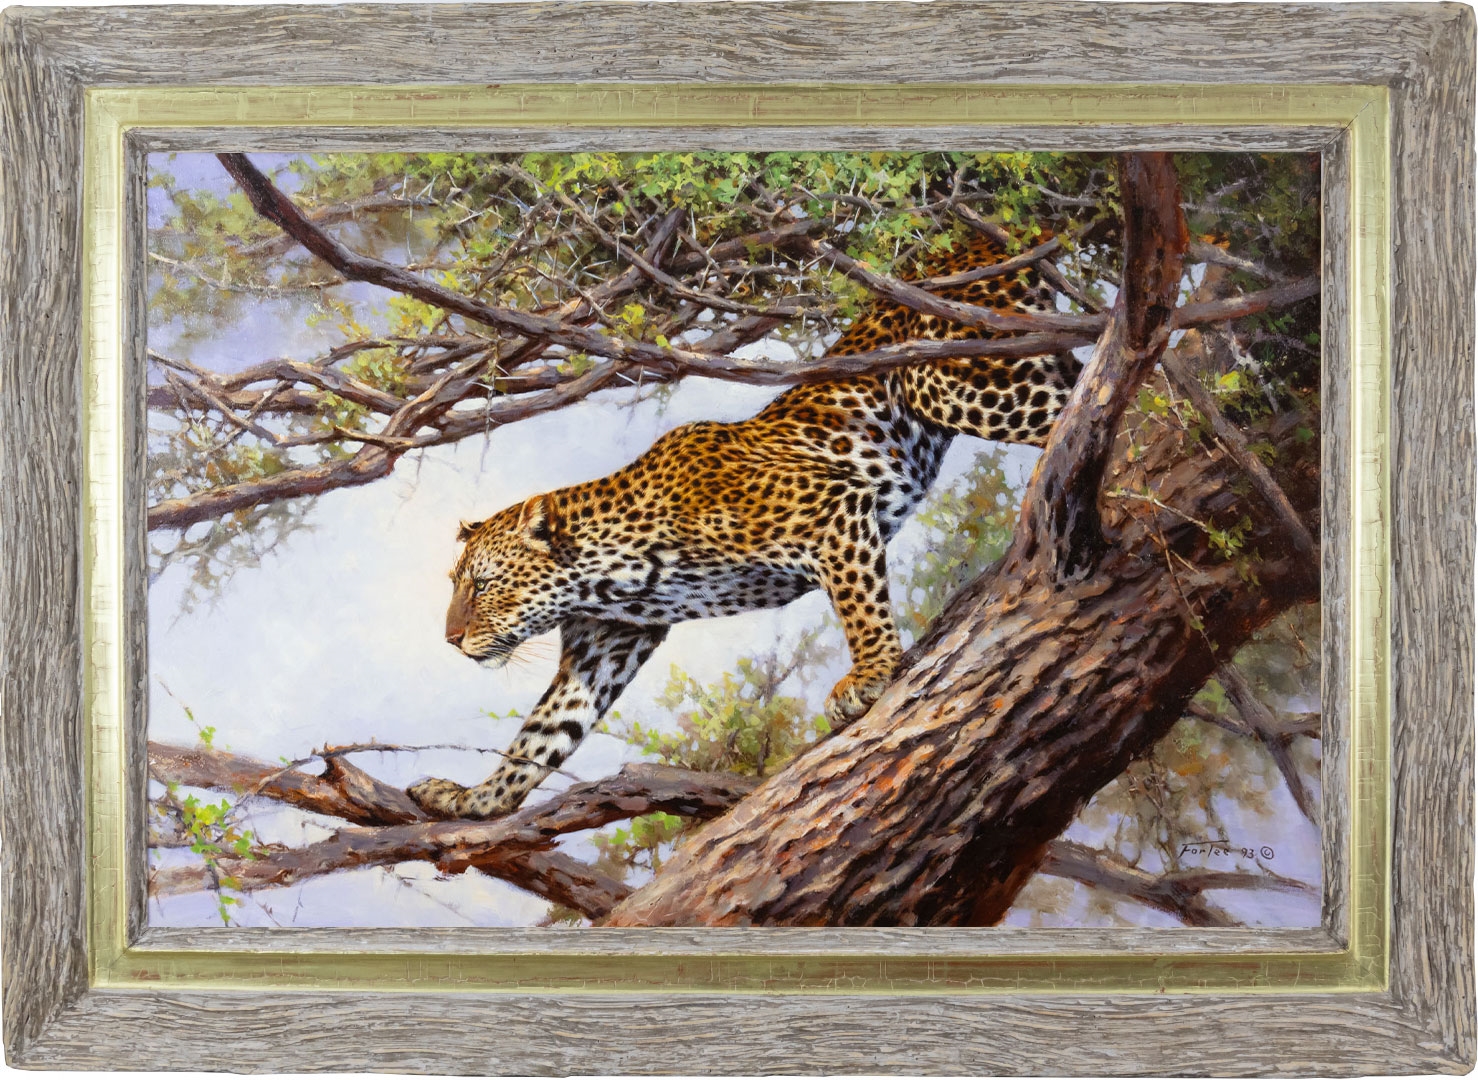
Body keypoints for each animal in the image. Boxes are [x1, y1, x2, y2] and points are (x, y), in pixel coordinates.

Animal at [408, 231, 1083, 820]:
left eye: (484, 585)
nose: (449, 640)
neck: (604, 574)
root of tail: (980, 241)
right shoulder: (604, 647)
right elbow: (539, 737)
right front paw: (472, 801)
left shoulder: (830, 508)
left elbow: (860, 607)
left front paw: (870, 676)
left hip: (952, 380)